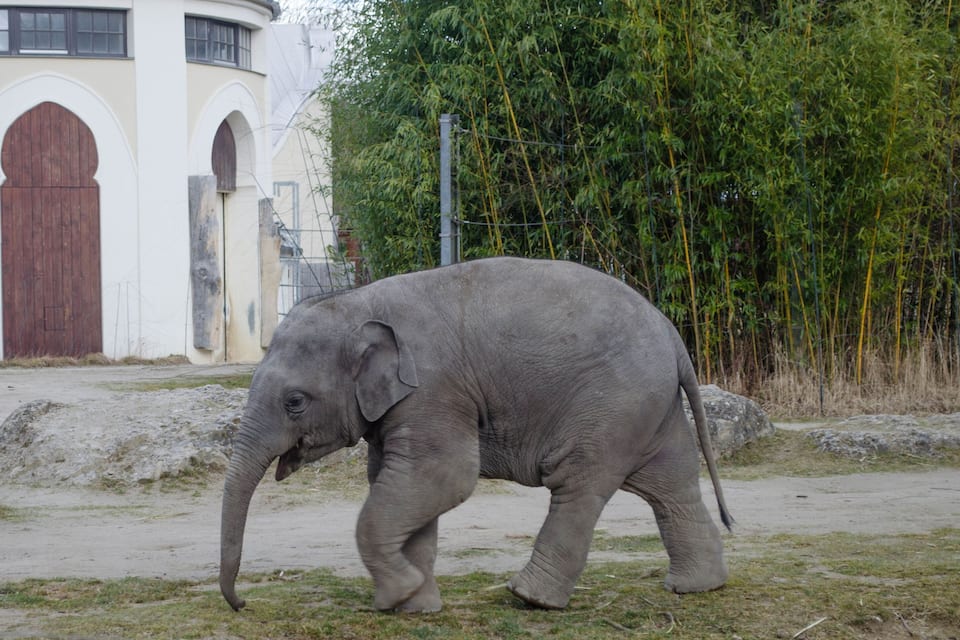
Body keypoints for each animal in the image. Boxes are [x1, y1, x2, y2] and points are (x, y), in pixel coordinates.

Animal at [220, 256, 733, 614]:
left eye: (295, 402)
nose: (243, 604)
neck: (358, 301)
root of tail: (671, 333)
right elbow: (397, 481)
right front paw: (414, 606)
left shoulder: (433, 389)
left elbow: (443, 477)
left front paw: (397, 596)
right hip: (650, 406)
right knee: (672, 485)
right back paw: (697, 587)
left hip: (614, 404)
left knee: (578, 484)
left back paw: (530, 598)